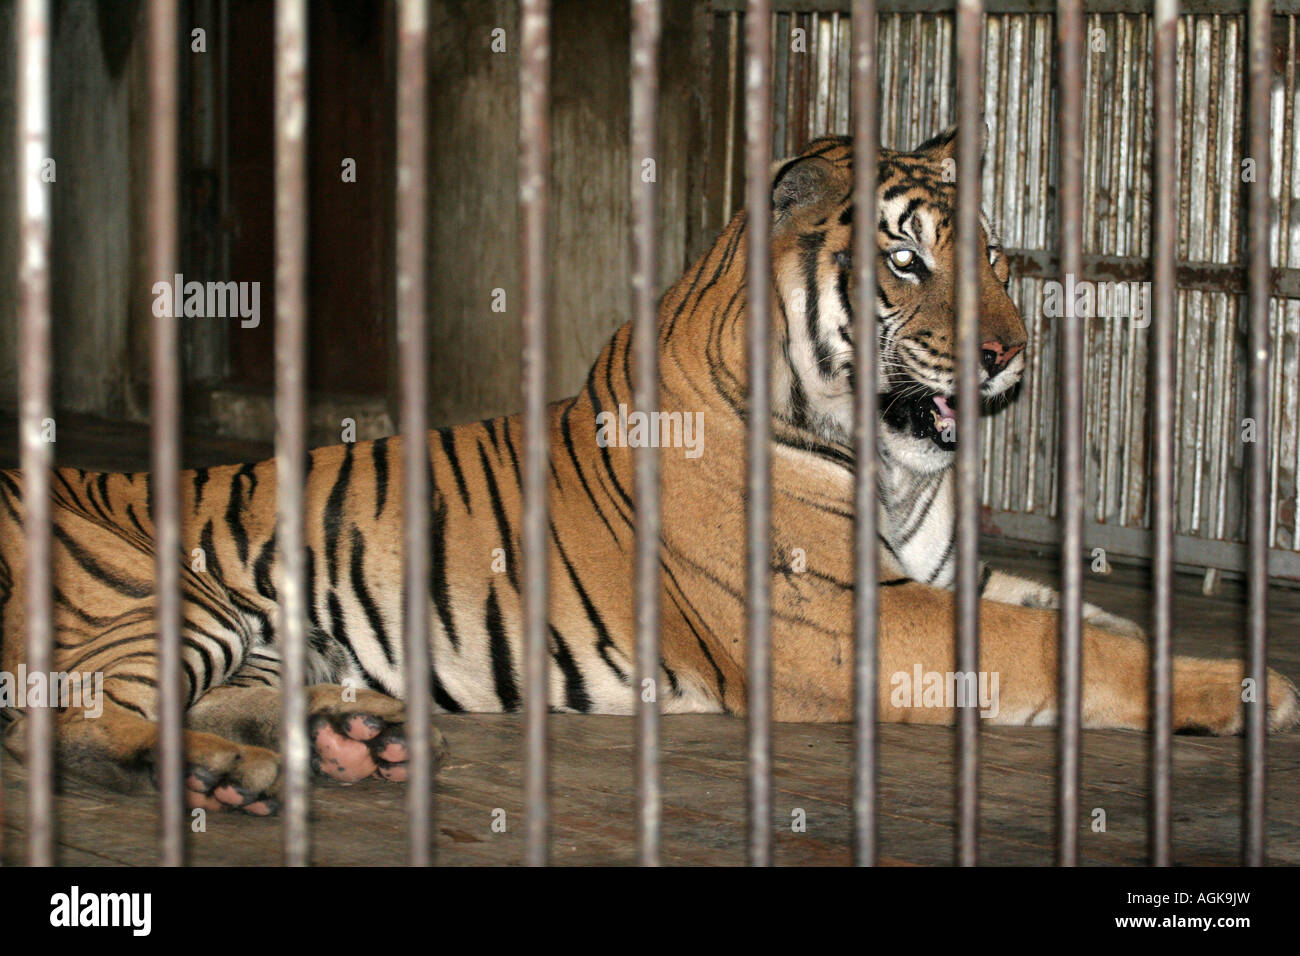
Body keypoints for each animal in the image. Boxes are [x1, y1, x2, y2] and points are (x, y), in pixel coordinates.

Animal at [1, 129, 1296, 816]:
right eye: (905, 260)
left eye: (992, 258)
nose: (1006, 354)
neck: (894, 465)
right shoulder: (843, 619)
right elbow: (1063, 643)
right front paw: (1251, 689)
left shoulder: (937, 578)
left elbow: (1082, 612)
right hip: (176, 595)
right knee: (62, 717)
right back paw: (236, 775)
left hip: (267, 631)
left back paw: (348, 740)